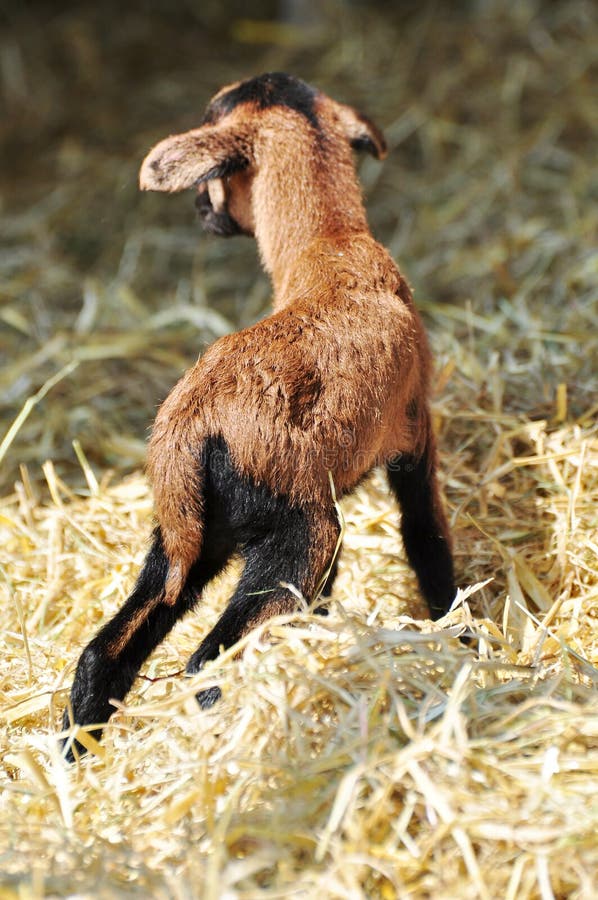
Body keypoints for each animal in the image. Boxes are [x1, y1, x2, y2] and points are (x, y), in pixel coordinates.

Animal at [62, 73, 455, 760]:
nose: (201, 210)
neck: (329, 244)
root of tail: (188, 428)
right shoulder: (414, 433)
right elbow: (426, 539)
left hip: (188, 539)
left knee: (105, 651)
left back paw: (75, 760)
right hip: (297, 530)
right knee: (208, 663)